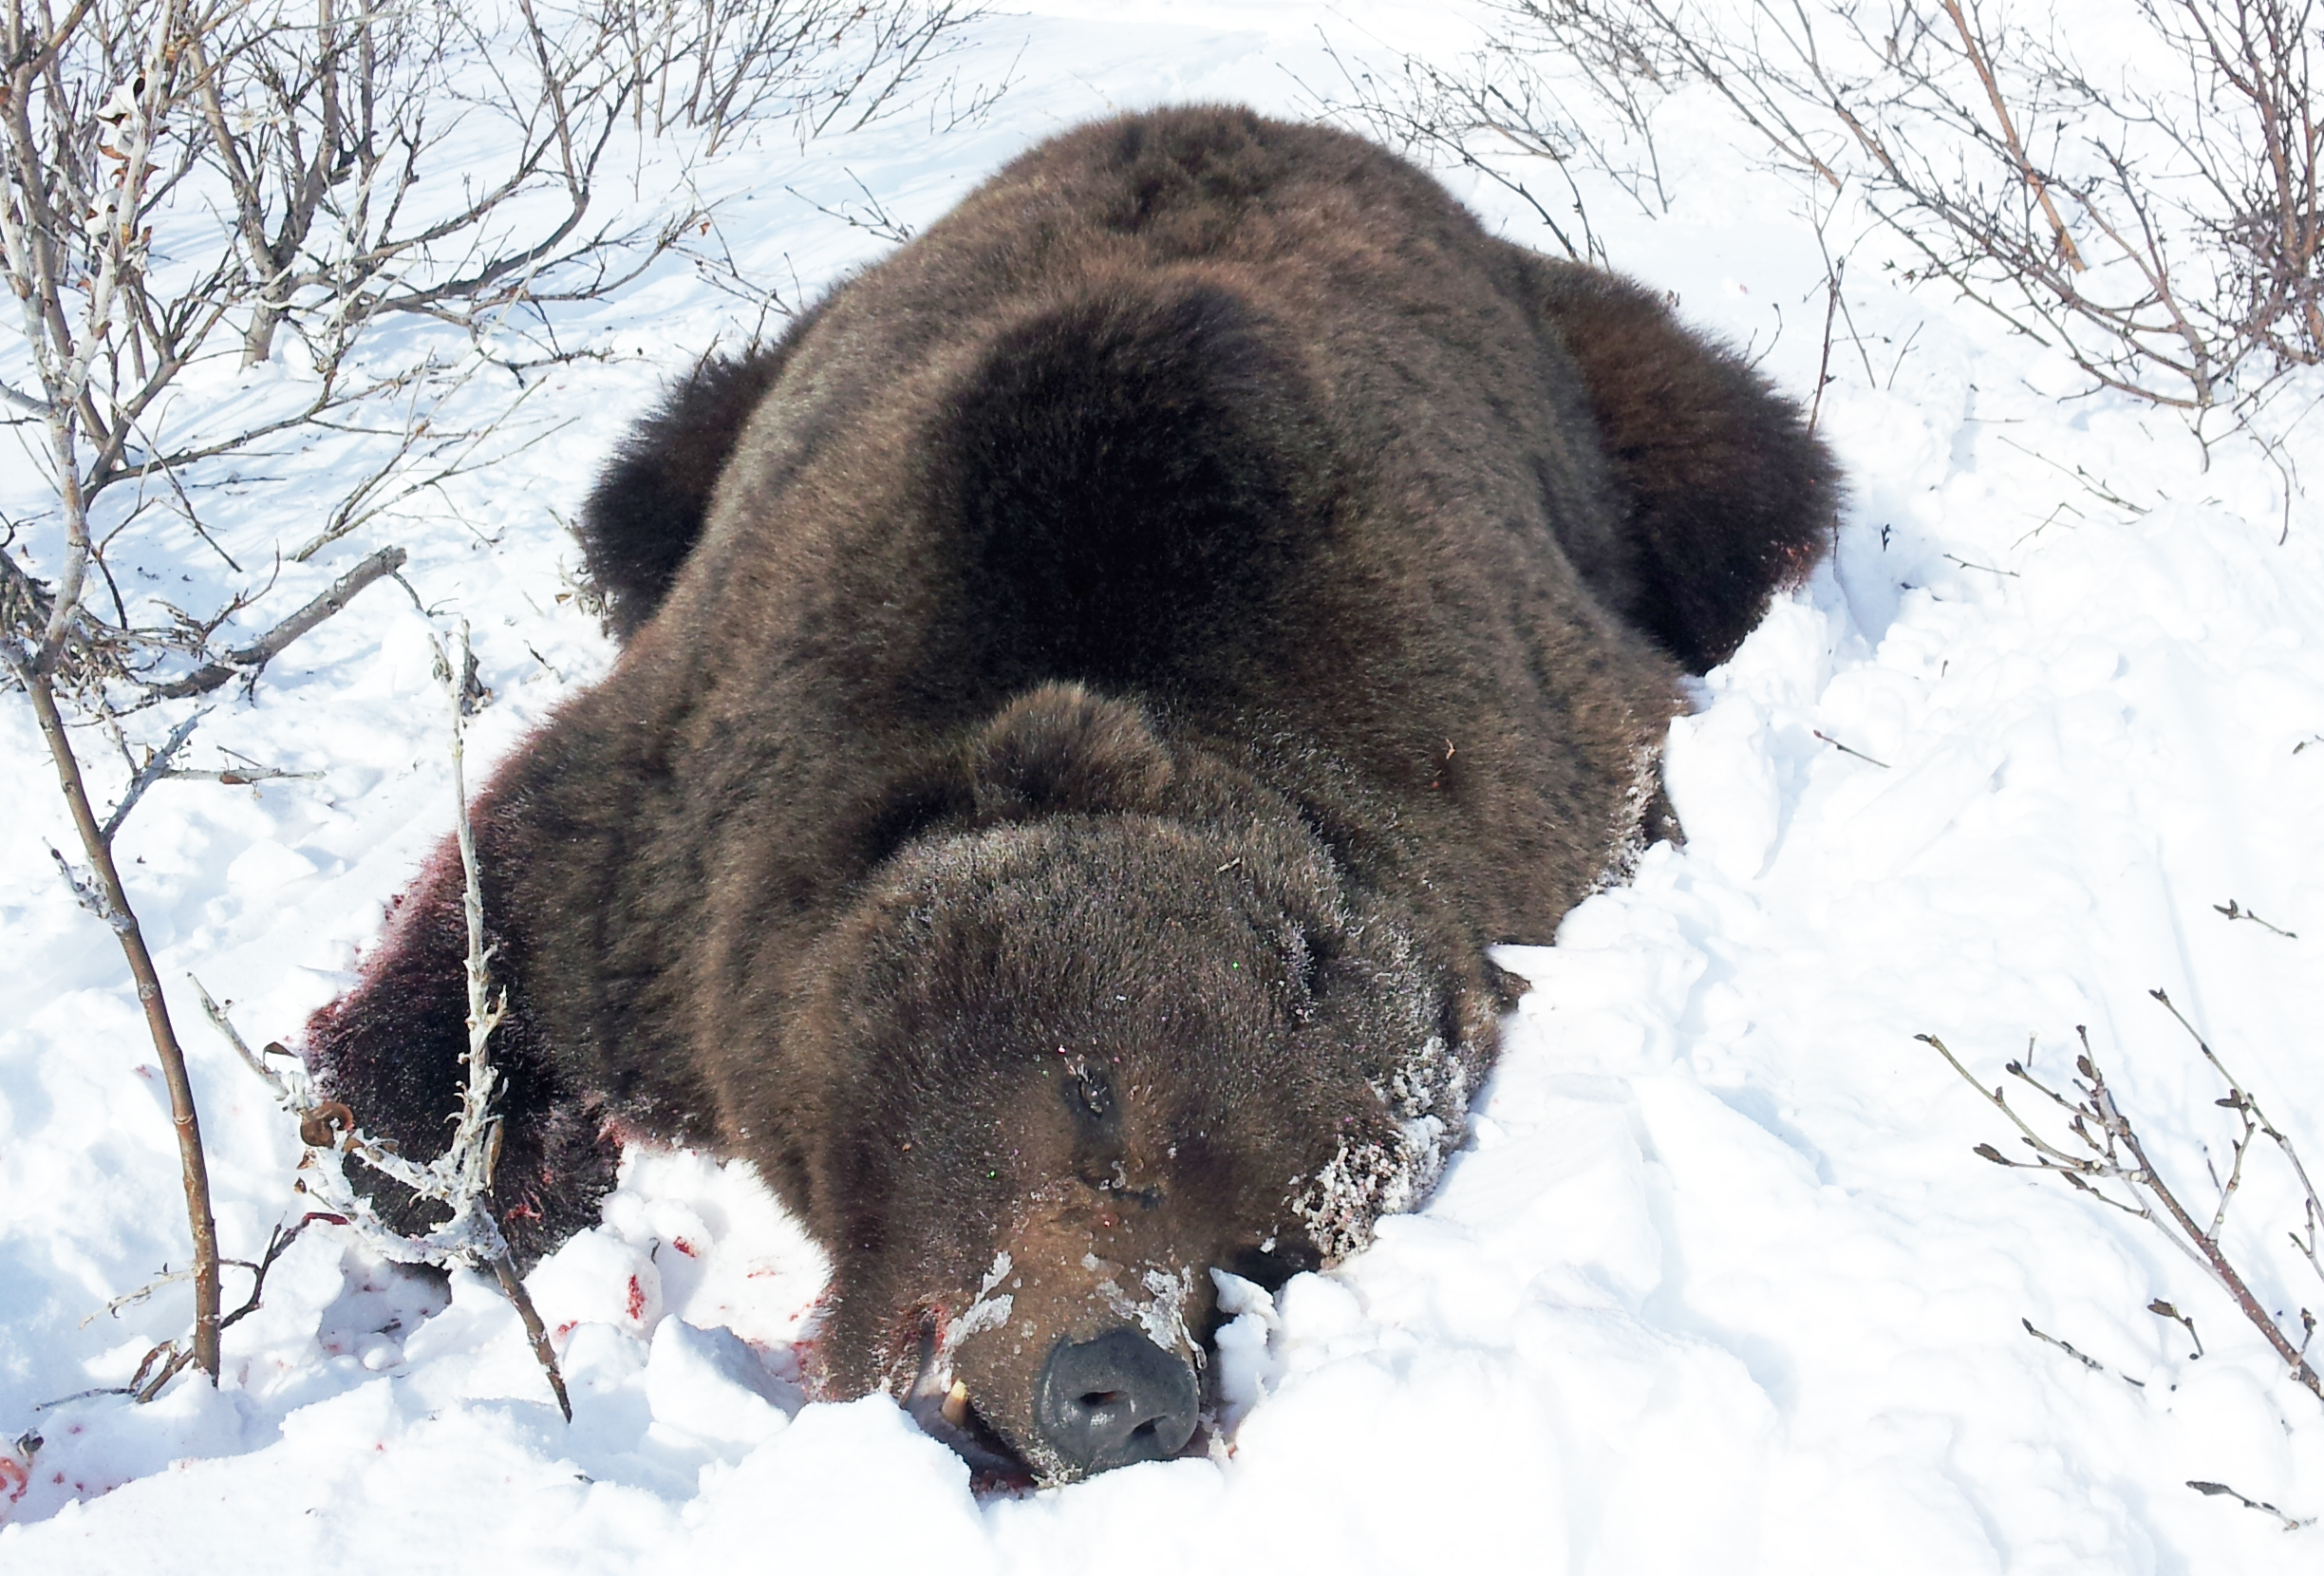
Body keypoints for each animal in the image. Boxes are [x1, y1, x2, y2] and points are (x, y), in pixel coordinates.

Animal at [303, 105, 1835, 1484]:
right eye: (1095, 1092)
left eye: (1268, 1252)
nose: (1115, 1388)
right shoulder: (689, 808)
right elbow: (500, 917)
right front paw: (474, 1169)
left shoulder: (1512, 768)